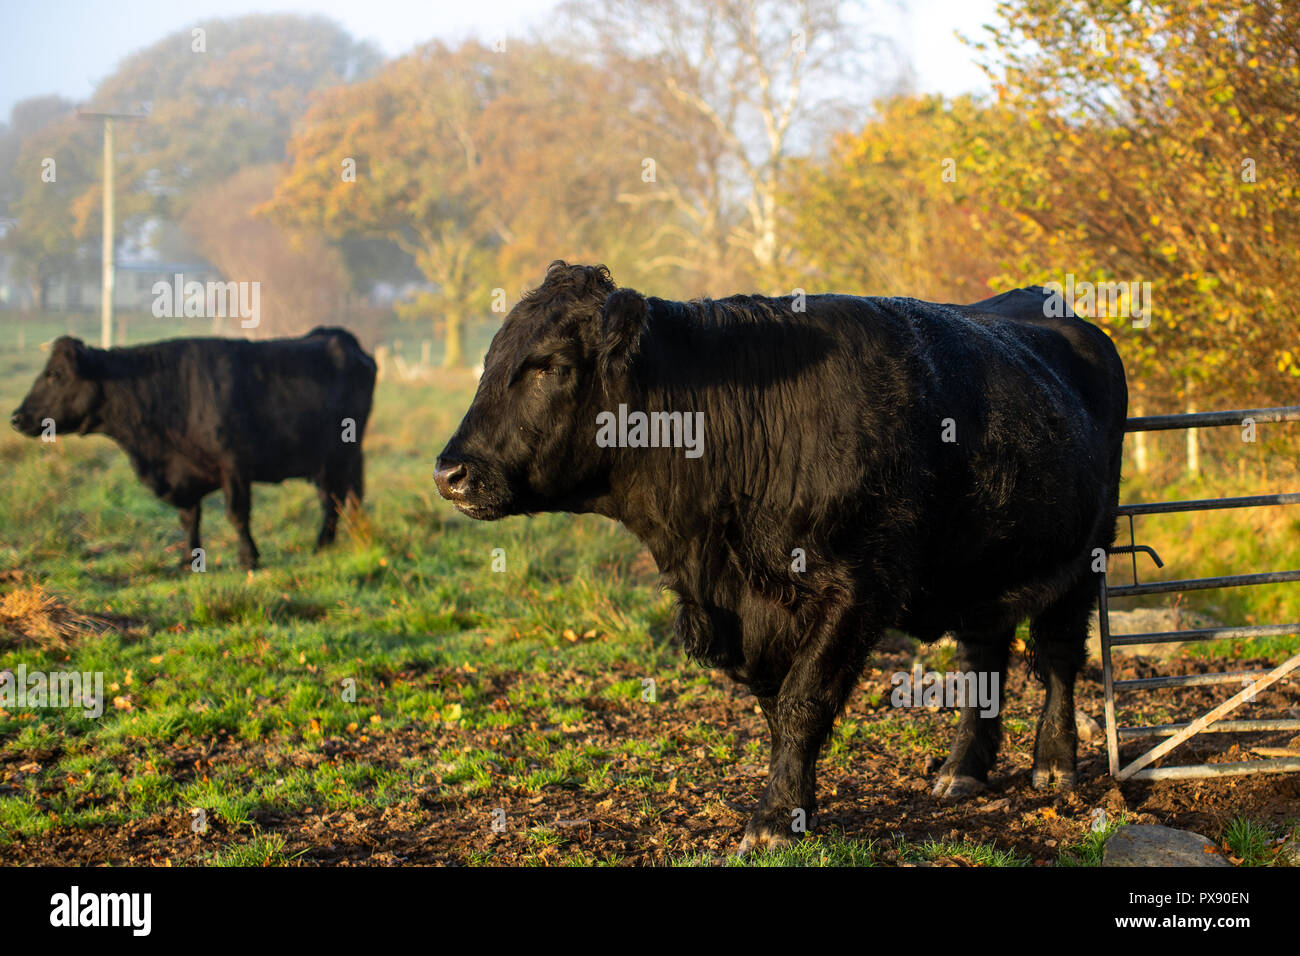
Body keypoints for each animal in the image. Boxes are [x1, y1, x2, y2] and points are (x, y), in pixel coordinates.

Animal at [10, 327, 376, 570]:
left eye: (55, 374)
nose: (16, 417)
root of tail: (338, 337)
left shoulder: (234, 466)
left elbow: (236, 514)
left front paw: (248, 558)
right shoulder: (184, 475)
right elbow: (189, 519)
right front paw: (188, 560)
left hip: (337, 456)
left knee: (333, 501)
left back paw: (321, 546)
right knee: (344, 499)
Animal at [434, 261, 1127, 853]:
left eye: (549, 366)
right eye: (490, 361)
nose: (449, 473)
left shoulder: (857, 589)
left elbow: (803, 702)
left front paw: (771, 822)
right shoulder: (747, 613)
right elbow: (775, 707)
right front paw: (793, 806)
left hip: (1083, 554)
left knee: (1060, 659)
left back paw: (1054, 763)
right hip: (980, 568)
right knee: (985, 657)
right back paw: (962, 770)